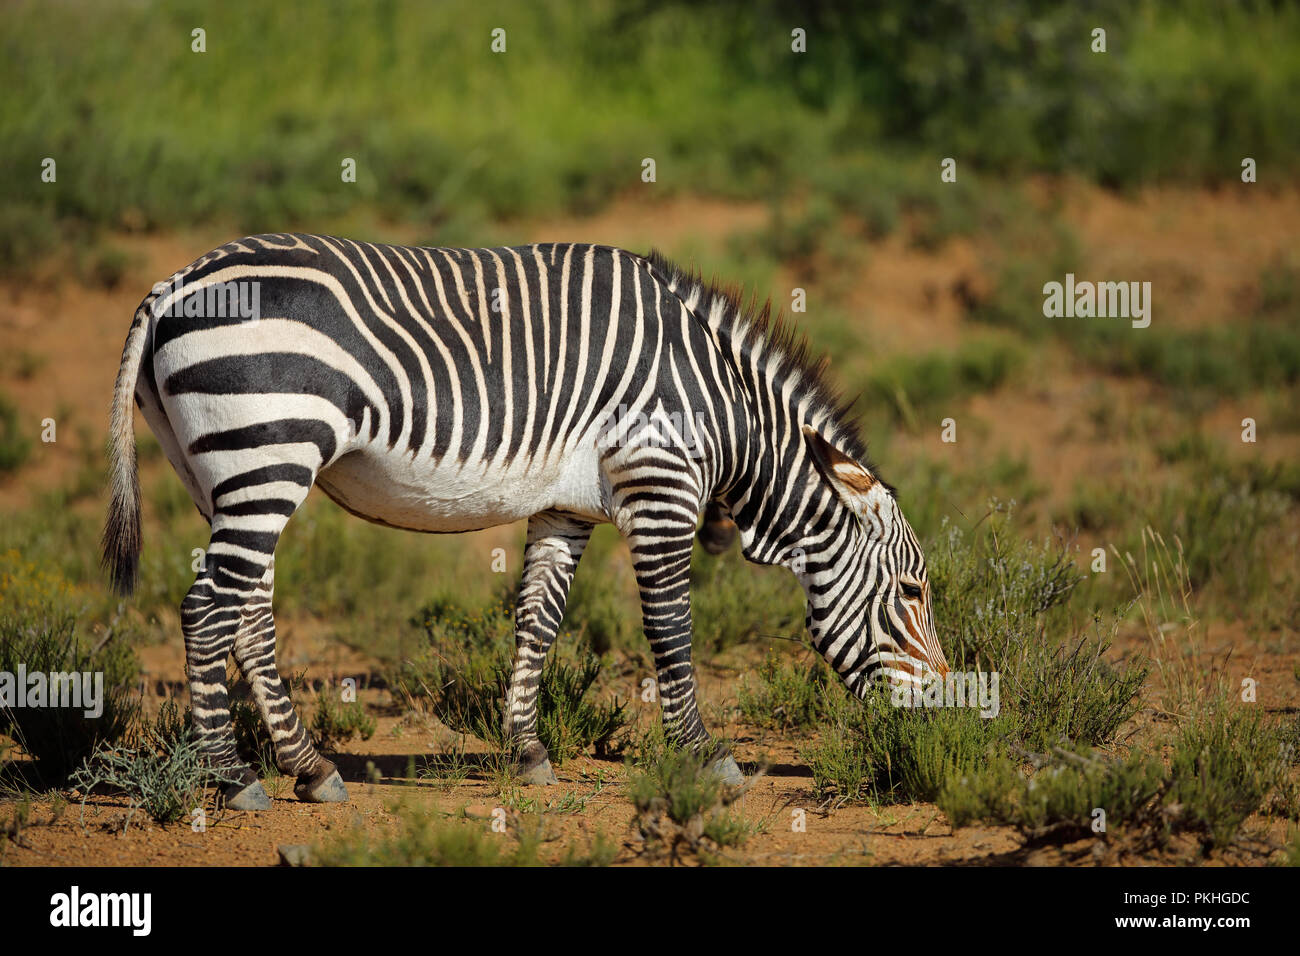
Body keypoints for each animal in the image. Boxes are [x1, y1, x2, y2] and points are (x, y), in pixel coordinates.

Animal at [102, 233, 950, 810]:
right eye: (912, 593)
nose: (946, 717)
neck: (722, 402)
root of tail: (173, 284)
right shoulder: (659, 484)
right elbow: (672, 627)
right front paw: (704, 756)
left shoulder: (564, 507)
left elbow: (538, 622)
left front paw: (528, 751)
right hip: (266, 456)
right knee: (205, 611)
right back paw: (231, 777)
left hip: (224, 475)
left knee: (245, 615)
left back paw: (309, 769)